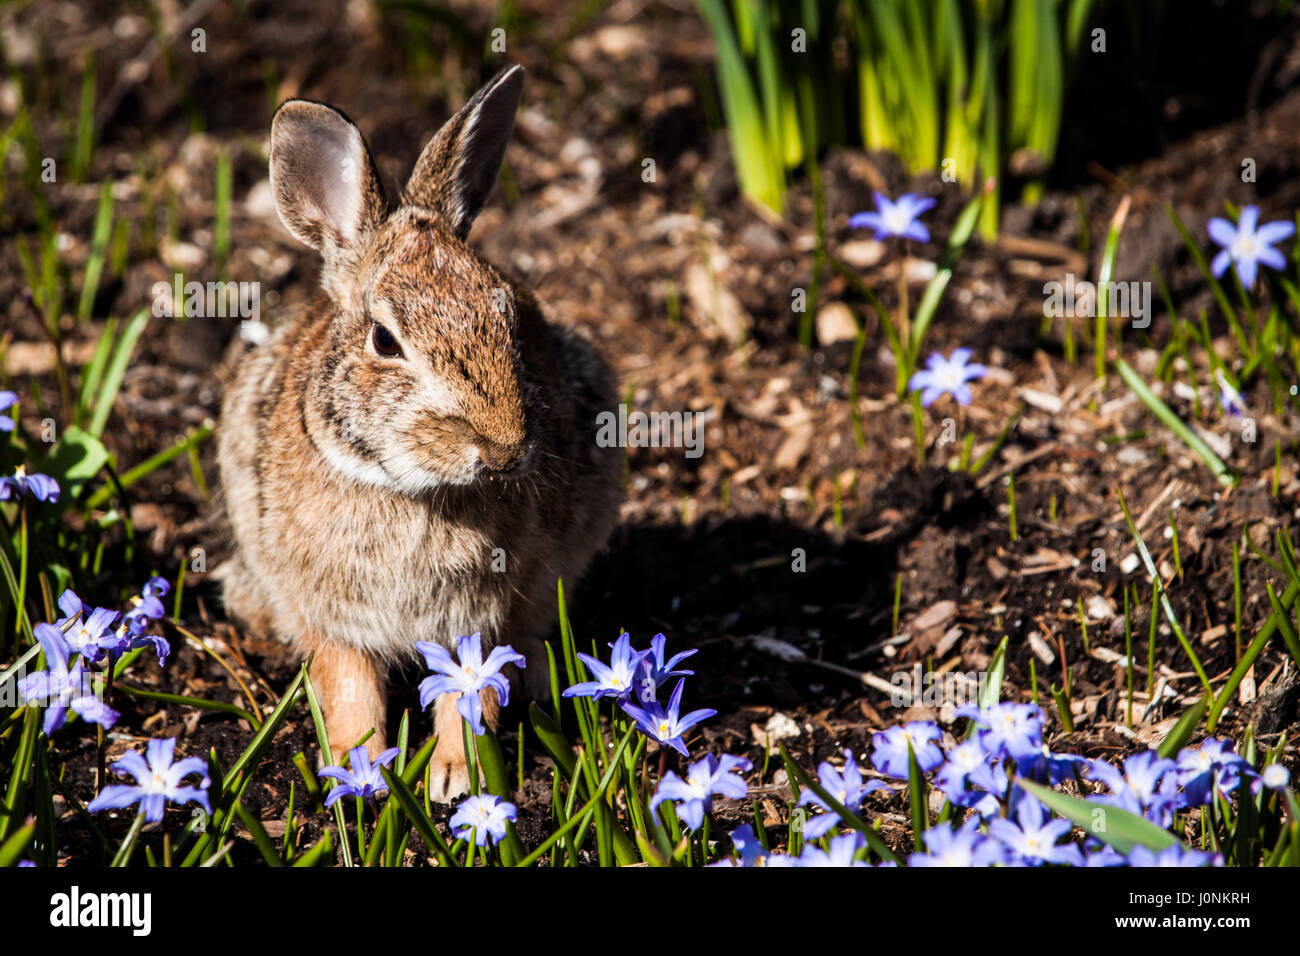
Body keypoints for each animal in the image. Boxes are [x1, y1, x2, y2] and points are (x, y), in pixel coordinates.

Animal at [216, 65, 621, 801]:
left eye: (511, 317)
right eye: (385, 341)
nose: (504, 449)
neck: (412, 490)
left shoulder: (479, 616)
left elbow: (472, 693)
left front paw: (457, 780)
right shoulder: (333, 615)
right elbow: (350, 686)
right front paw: (361, 770)